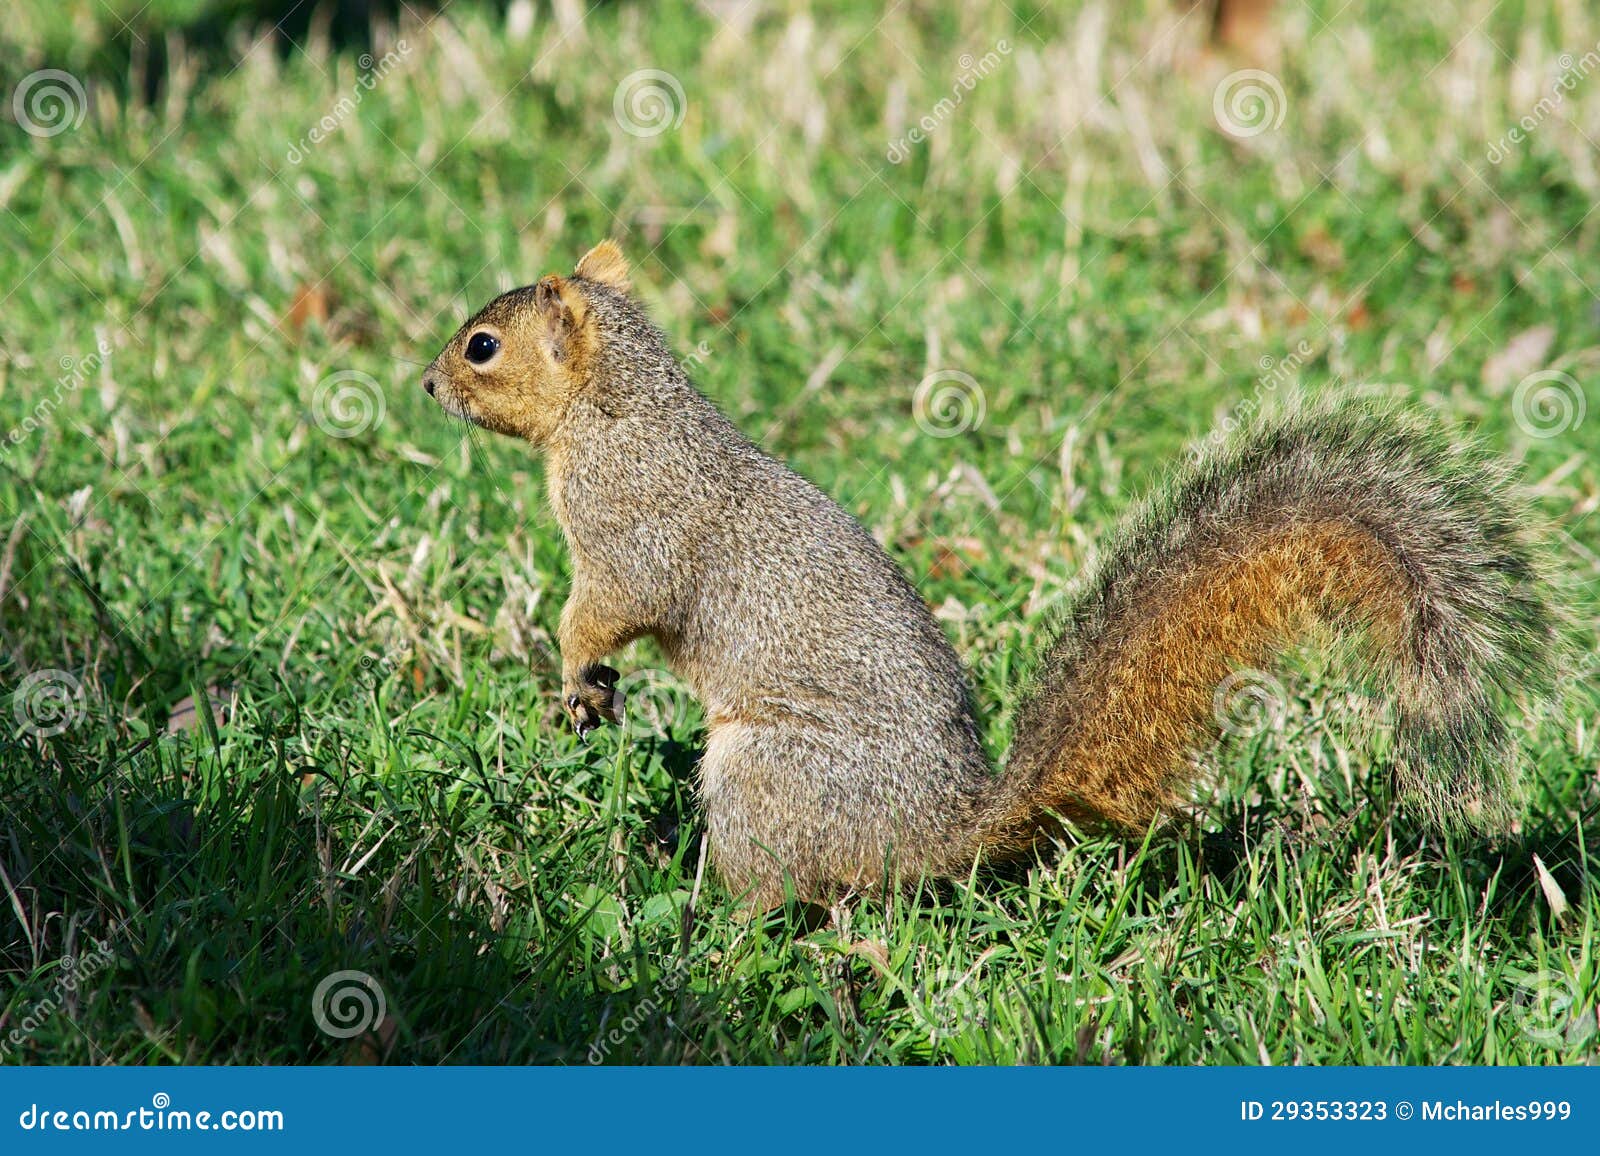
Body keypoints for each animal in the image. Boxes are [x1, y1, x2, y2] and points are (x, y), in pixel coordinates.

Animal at [421, 239, 1558, 908]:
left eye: (483, 345)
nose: (427, 384)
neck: (613, 408)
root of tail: (941, 830)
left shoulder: (629, 530)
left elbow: (608, 605)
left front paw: (570, 668)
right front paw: (592, 693)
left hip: (764, 774)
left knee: (779, 891)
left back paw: (704, 913)